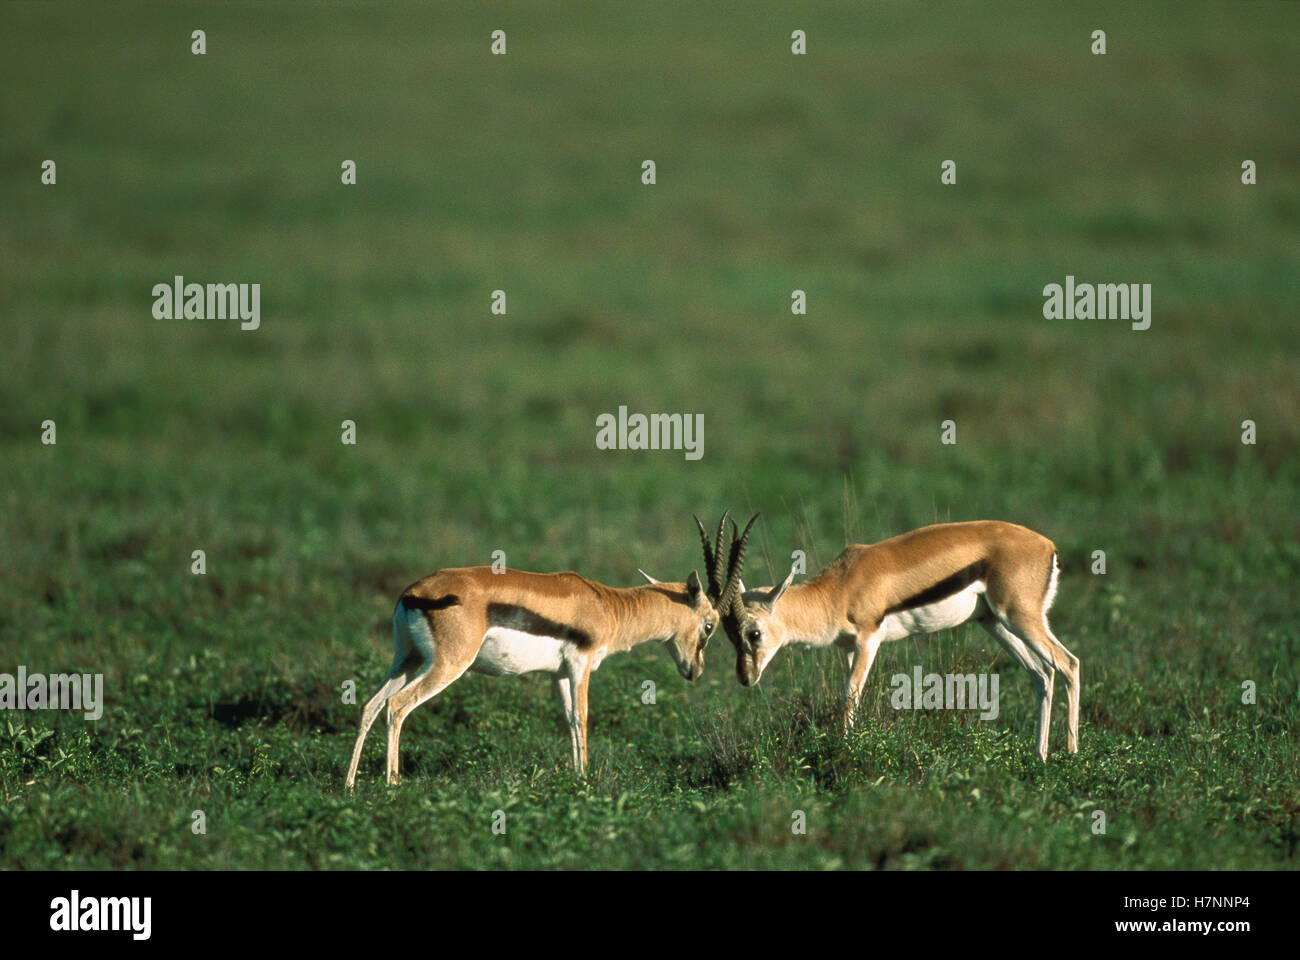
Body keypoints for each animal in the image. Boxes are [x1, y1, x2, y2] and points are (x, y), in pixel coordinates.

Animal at [344, 526, 741, 789]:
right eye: (709, 625)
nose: (695, 670)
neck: (605, 605)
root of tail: (414, 593)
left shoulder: (559, 672)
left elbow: (568, 720)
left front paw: (577, 777)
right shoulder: (581, 664)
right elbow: (582, 717)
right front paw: (585, 781)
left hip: (406, 660)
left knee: (371, 705)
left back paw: (349, 785)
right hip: (446, 665)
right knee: (397, 705)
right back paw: (392, 786)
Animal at [708, 517, 1080, 761]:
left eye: (754, 633)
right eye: (727, 635)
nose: (746, 677)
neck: (838, 589)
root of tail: (1047, 547)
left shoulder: (868, 638)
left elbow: (851, 695)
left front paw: (844, 751)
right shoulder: (847, 648)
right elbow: (847, 695)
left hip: (1021, 618)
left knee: (1069, 664)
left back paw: (1071, 755)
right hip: (995, 623)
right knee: (1042, 674)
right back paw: (1039, 755)